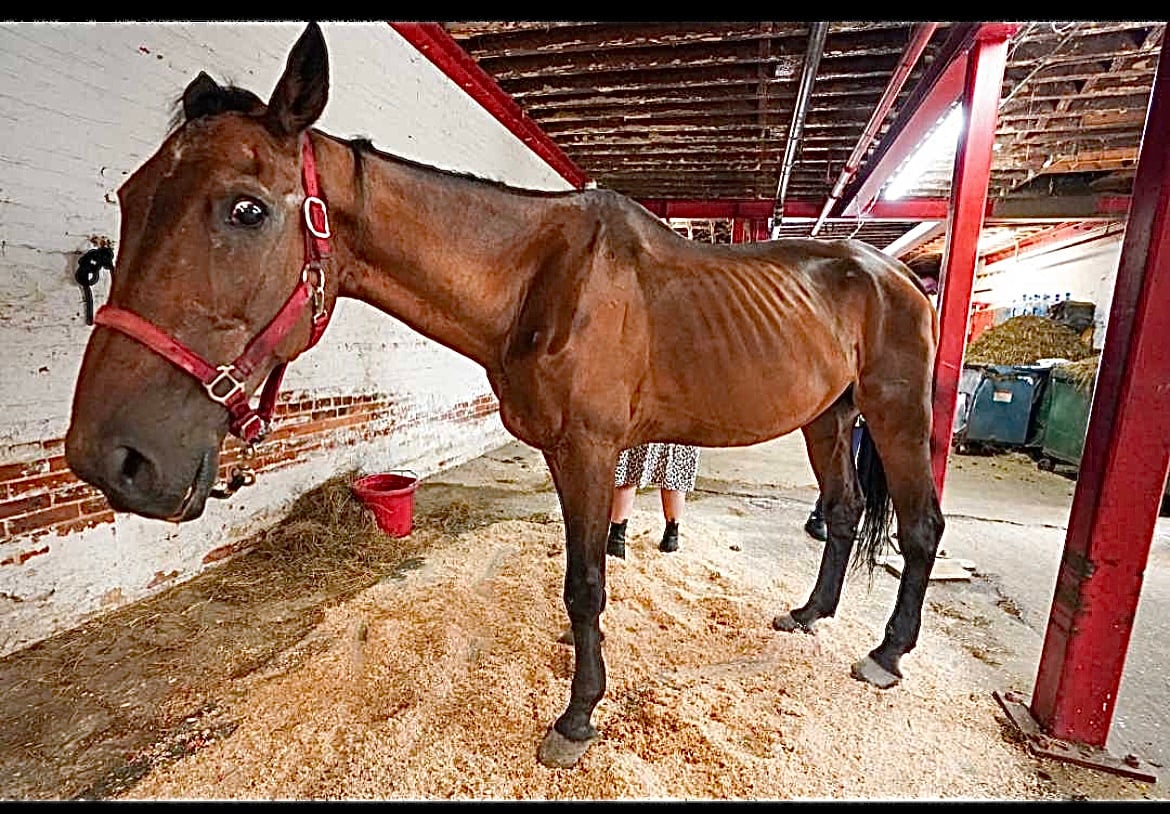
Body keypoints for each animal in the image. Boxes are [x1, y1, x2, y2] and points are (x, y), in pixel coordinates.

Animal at [64, 23, 944, 769]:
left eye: (246, 208)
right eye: (129, 197)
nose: (112, 459)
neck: (542, 279)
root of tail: (898, 274)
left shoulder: (590, 449)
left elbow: (586, 583)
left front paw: (577, 718)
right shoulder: (562, 453)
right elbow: (580, 580)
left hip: (895, 414)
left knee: (921, 526)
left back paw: (886, 654)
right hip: (828, 418)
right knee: (842, 513)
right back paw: (811, 614)